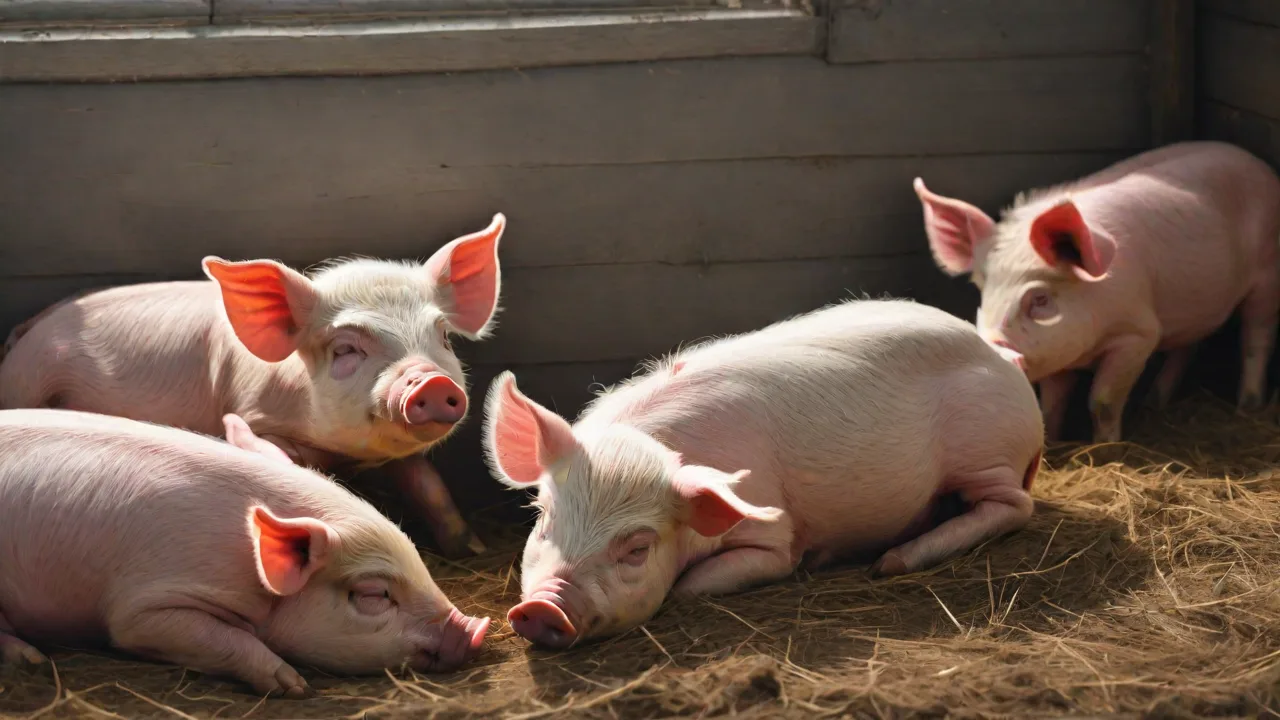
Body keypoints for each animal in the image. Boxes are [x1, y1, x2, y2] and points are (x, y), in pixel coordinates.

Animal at [0, 214, 508, 558]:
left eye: (443, 336)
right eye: (346, 348)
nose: (431, 382)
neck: (342, 452)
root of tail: (25, 333)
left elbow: (428, 484)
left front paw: (473, 548)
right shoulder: (256, 417)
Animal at [0, 409, 491, 696]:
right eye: (372, 595)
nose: (475, 628)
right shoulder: (144, 608)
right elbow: (211, 637)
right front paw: (293, 685)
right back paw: (33, 661)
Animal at [481, 298, 1044, 648]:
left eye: (638, 548)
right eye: (543, 517)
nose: (541, 608)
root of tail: (1005, 361)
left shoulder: (773, 542)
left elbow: (695, 585)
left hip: (983, 451)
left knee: (1015, 507)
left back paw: (890, 563)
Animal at [913, 141, 1280, 443]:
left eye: (1040, 298)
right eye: (981, 290)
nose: (991, 349)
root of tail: (1257, 162)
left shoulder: (1138, 334)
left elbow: (1101, 401)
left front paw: (1105, 448)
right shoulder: (1058, 355)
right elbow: (1051, 404)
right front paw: (1052, 441)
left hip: (1266, 277)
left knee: (1255, 338)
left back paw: (1247, 406)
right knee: (1189, 345)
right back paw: (1155, 402)